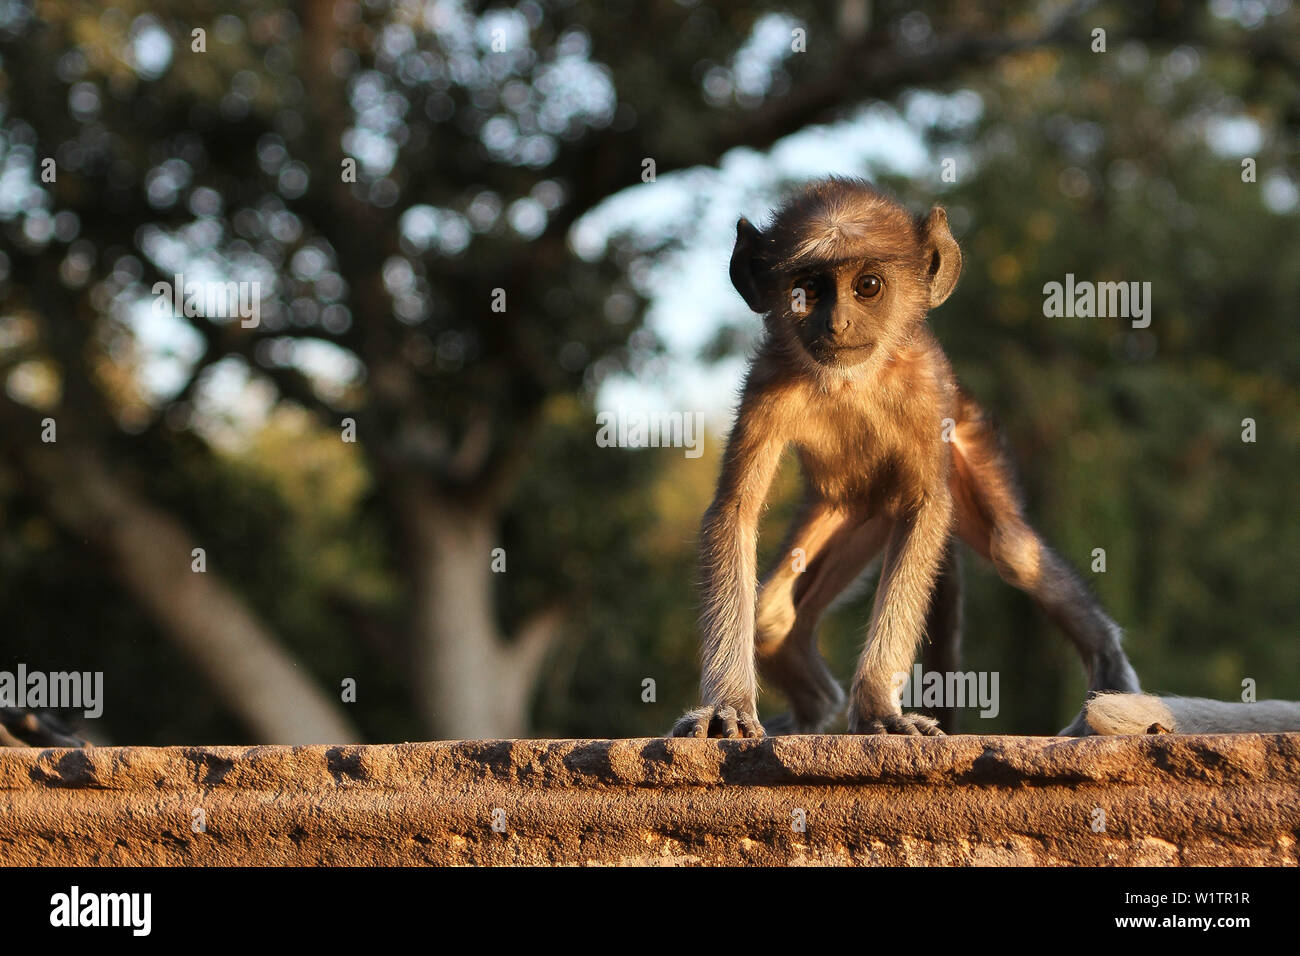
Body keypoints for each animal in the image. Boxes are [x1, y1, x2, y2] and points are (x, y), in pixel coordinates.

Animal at [669, 177, 1141, 739]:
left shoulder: (923, 390)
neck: (852, 380)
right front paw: (728, 705)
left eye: (868, 286)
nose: (838, 324)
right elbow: (734, 512)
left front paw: (877, 706)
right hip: (848, 513)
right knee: (771, 615)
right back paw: (812, 710)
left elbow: (928, 506)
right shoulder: (767, 383)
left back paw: (1109, 670)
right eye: (808, 289)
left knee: (1013, 549)